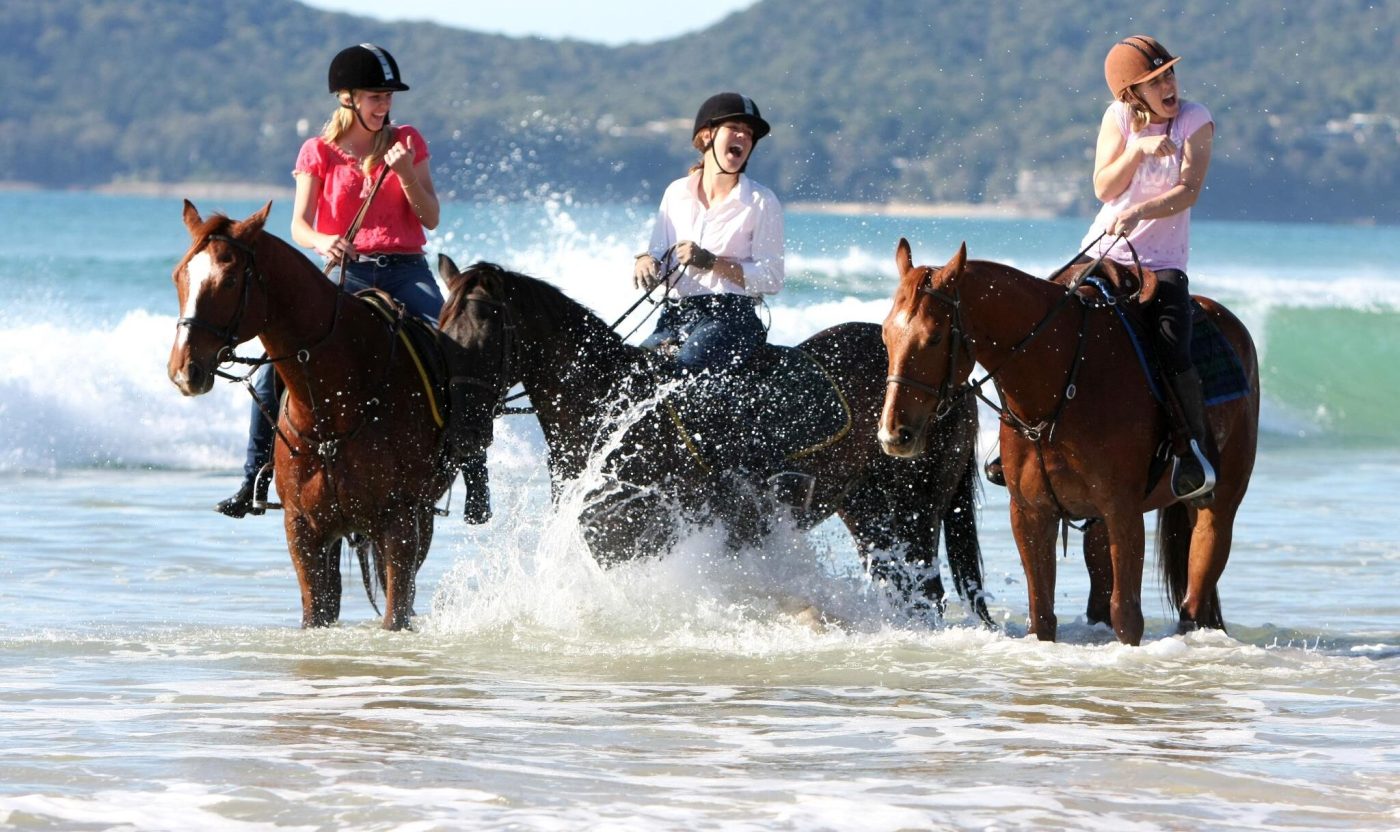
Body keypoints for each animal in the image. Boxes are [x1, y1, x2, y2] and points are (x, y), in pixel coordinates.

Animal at [166, 202, 499, 630]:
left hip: (422, 516)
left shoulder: (400, 523)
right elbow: (317, 611)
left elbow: (396, 609)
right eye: (179, 276)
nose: (183, 370)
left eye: (228, 280)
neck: (334, 406)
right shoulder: (303, 530)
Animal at [436, 256, 993, 623]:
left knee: (925, 593)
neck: (609, 404)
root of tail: (957, 375)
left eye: (483, 324)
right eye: (439, 325)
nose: (460, 426)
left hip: (913, 508)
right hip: (871, 512)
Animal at [879, 239, 1259, 645]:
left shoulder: (1122, 511)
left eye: (934, 336)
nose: (893, 434)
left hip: (1217, 507)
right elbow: (1042, 617)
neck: (1060, 381)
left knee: (1196, 592)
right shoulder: (1030, 514)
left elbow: (1127, 616)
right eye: (885, 334)